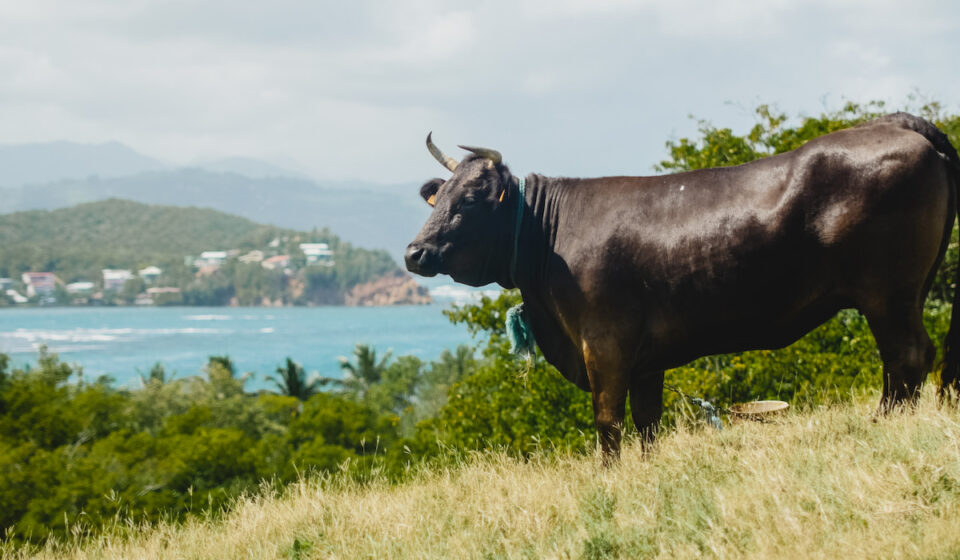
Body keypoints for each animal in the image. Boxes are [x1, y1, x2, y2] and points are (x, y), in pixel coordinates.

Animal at [405, 113, 960, 459]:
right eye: (439, 198)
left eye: (470, 201)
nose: (414, 253)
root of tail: (894, 123)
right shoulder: (646, 358)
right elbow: (648, 420)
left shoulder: (604, 342)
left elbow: (608, 419)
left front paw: (609, 478)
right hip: (903, 292)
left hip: (888, 293)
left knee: (907, 356)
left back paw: (883, 426)